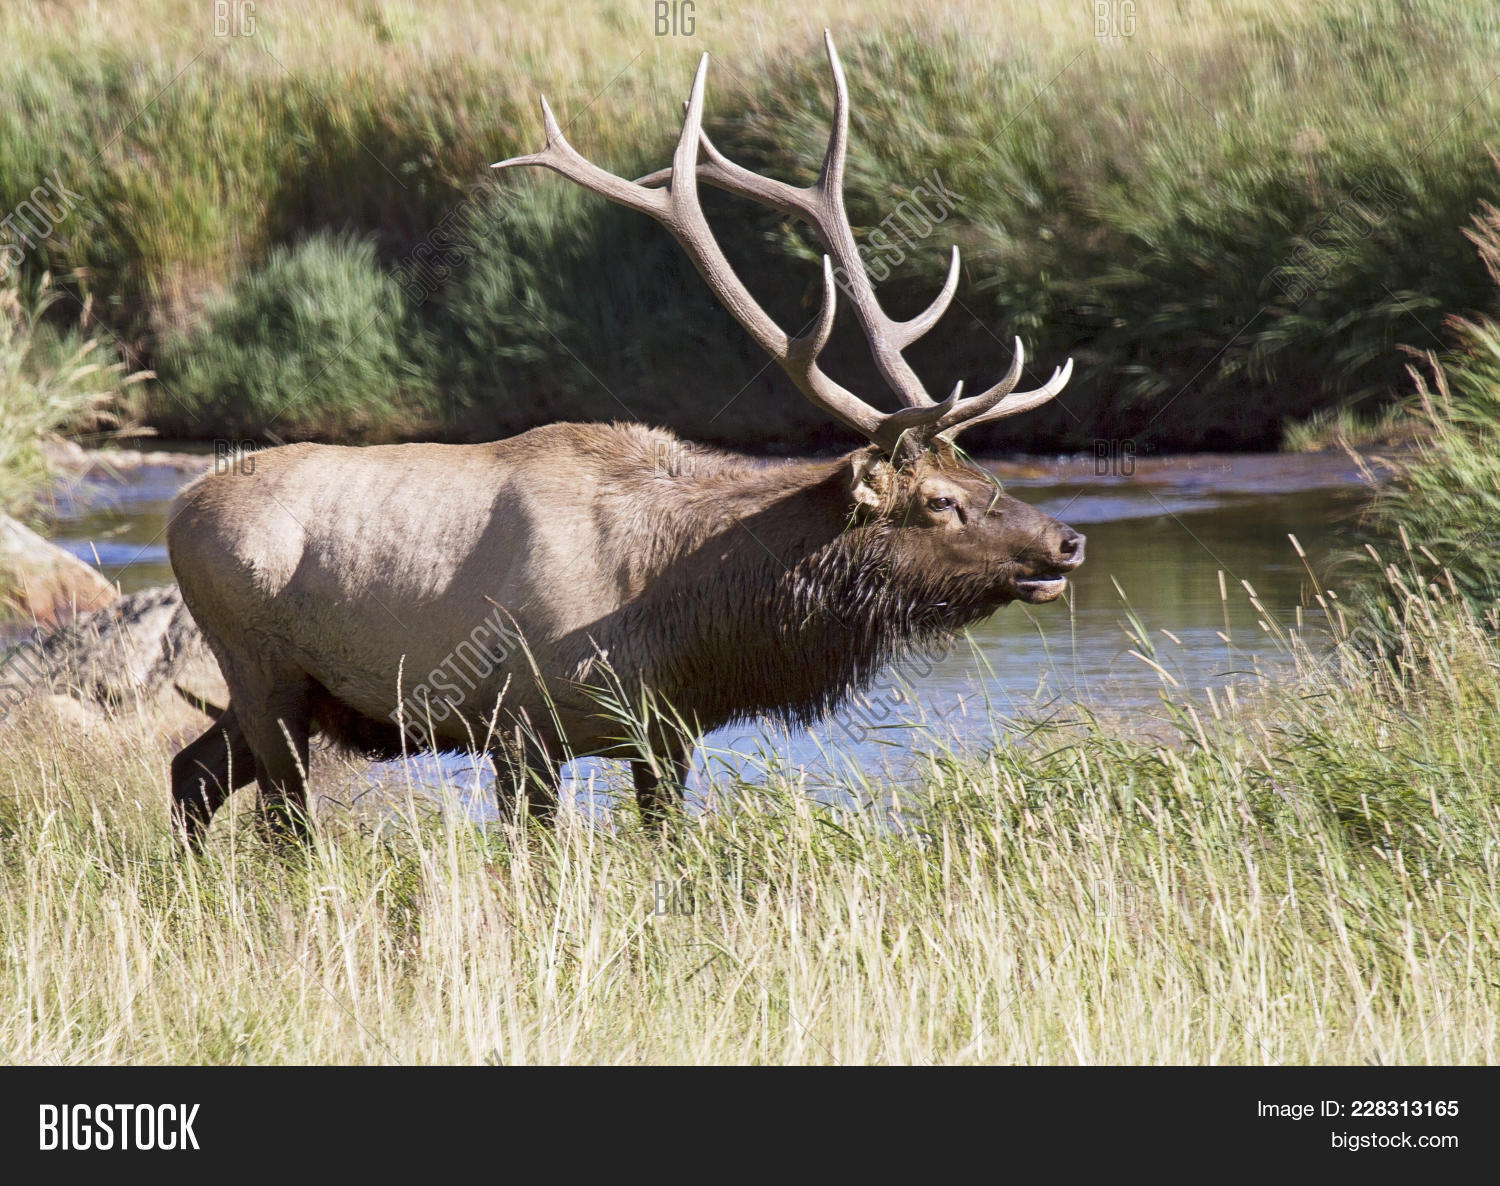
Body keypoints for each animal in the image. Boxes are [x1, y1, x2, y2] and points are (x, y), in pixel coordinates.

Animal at [167, 33, 1085, 845]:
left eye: (982, 475)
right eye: (940, 501)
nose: (1068, 541)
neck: (678, 619)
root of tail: (179, 507)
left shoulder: (665, 730)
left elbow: (665, 838)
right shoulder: (520, 722)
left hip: (296, 696)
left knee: (192, 771)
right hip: (260, 667)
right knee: (280, 821)